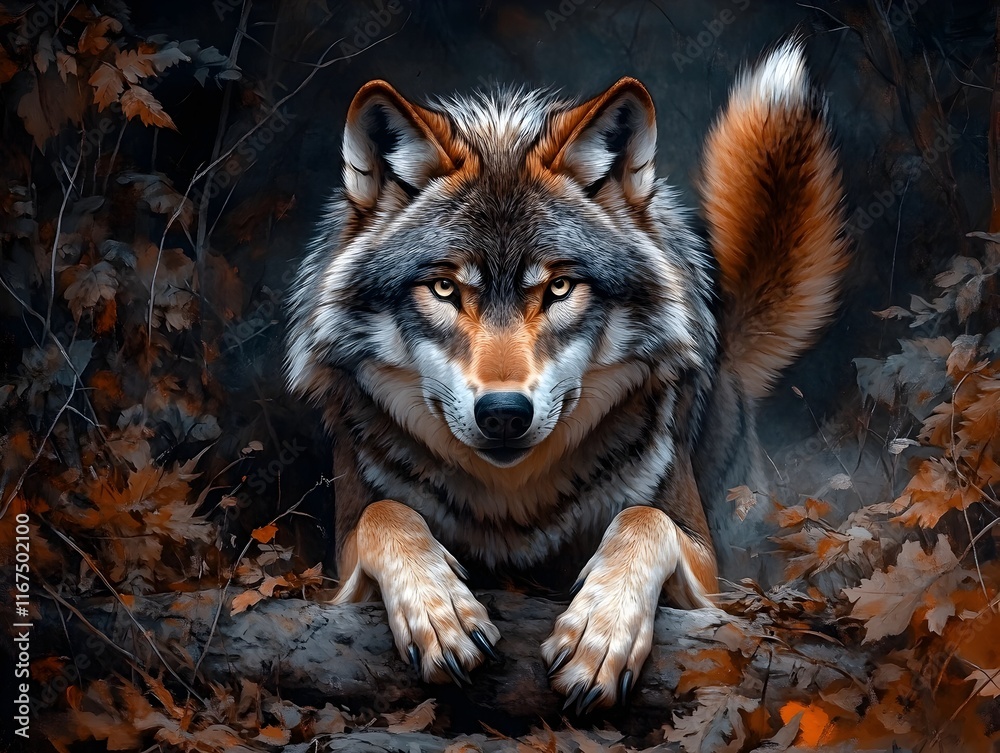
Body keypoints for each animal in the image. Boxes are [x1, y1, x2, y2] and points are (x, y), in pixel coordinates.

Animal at [286, 39, 848, 712]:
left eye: (558, 288)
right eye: (444, 289)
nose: (504, 412)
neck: (512, 506)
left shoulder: (710, 574)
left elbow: (643, 520)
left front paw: (597, 637)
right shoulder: (341, 574)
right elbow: (389, 515)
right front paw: (440, 610)